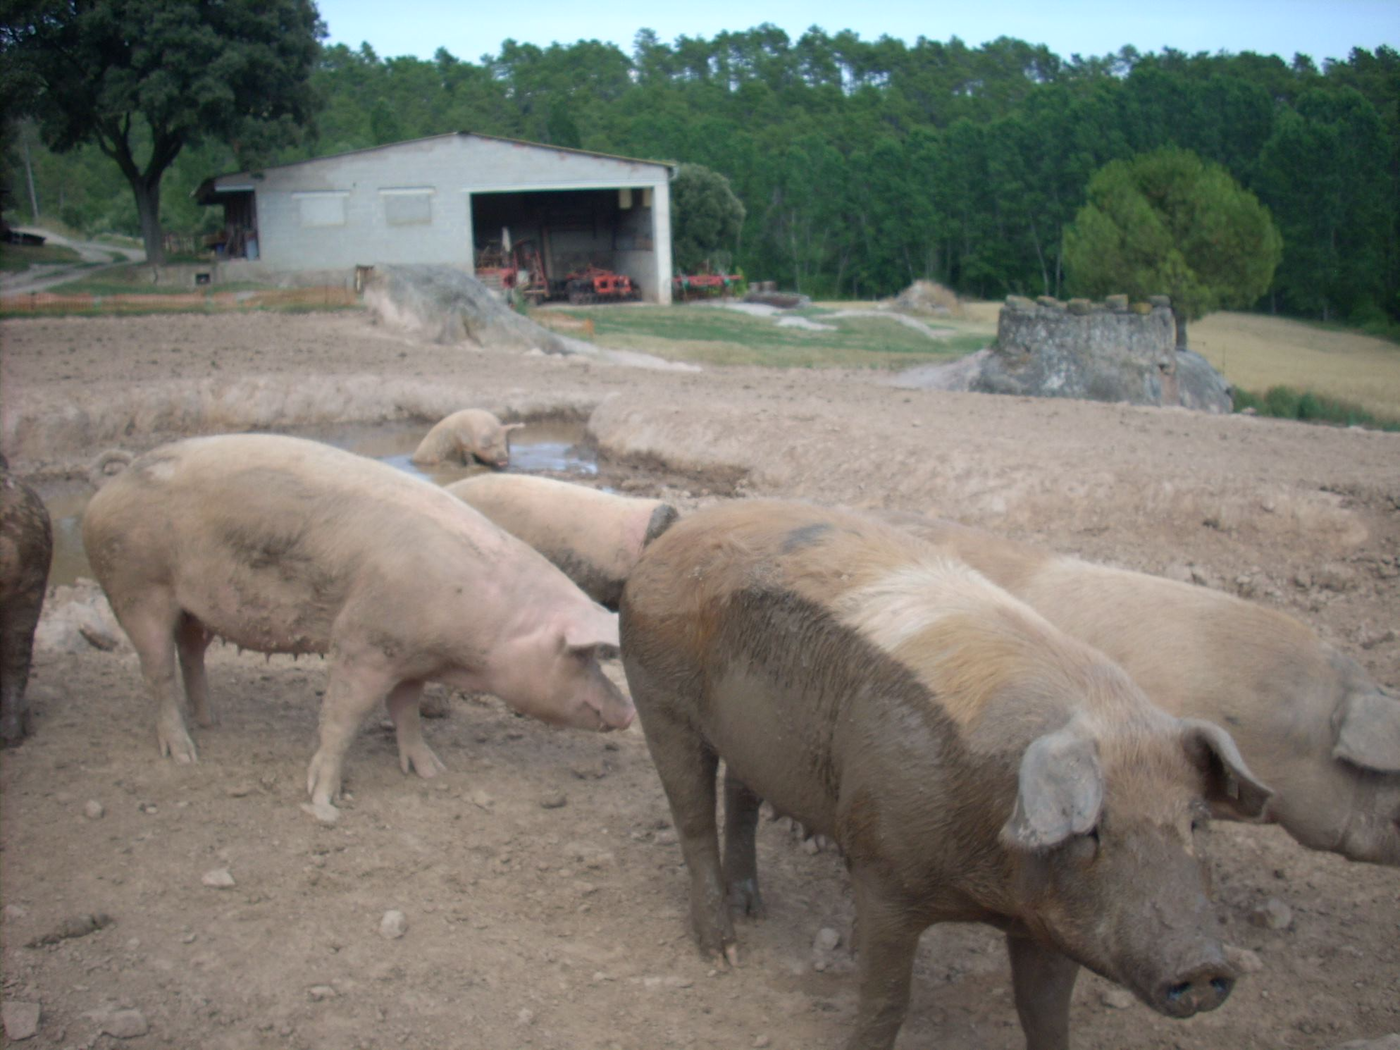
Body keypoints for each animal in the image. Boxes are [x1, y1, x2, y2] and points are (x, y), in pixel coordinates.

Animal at [82, 434, 633, 820]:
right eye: (582, 655)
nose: (627, 710)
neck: (481, 630)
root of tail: (113, 482)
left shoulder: (412, 659)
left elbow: (406, 712)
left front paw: (431, 771)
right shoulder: (365, 641)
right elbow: (342, 717)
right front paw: (324, 800)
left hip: (196, 607)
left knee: (191, 652)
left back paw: (211, 722)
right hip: (136, 584)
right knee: (157, 672)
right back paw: (184, 755)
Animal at [620, 500, 1270, 1050]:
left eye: (1196, 823)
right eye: (1090, 832)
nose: (1202, 966)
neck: (988, 886)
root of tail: (673, 533)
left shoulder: (1052, 919)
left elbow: (1044, 1012)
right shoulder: (882, 866)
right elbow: (886, 1001)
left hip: (750, 735)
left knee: (742, 796)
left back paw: (755, 908)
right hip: (657, 693)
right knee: (691, 816)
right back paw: (723, 953)